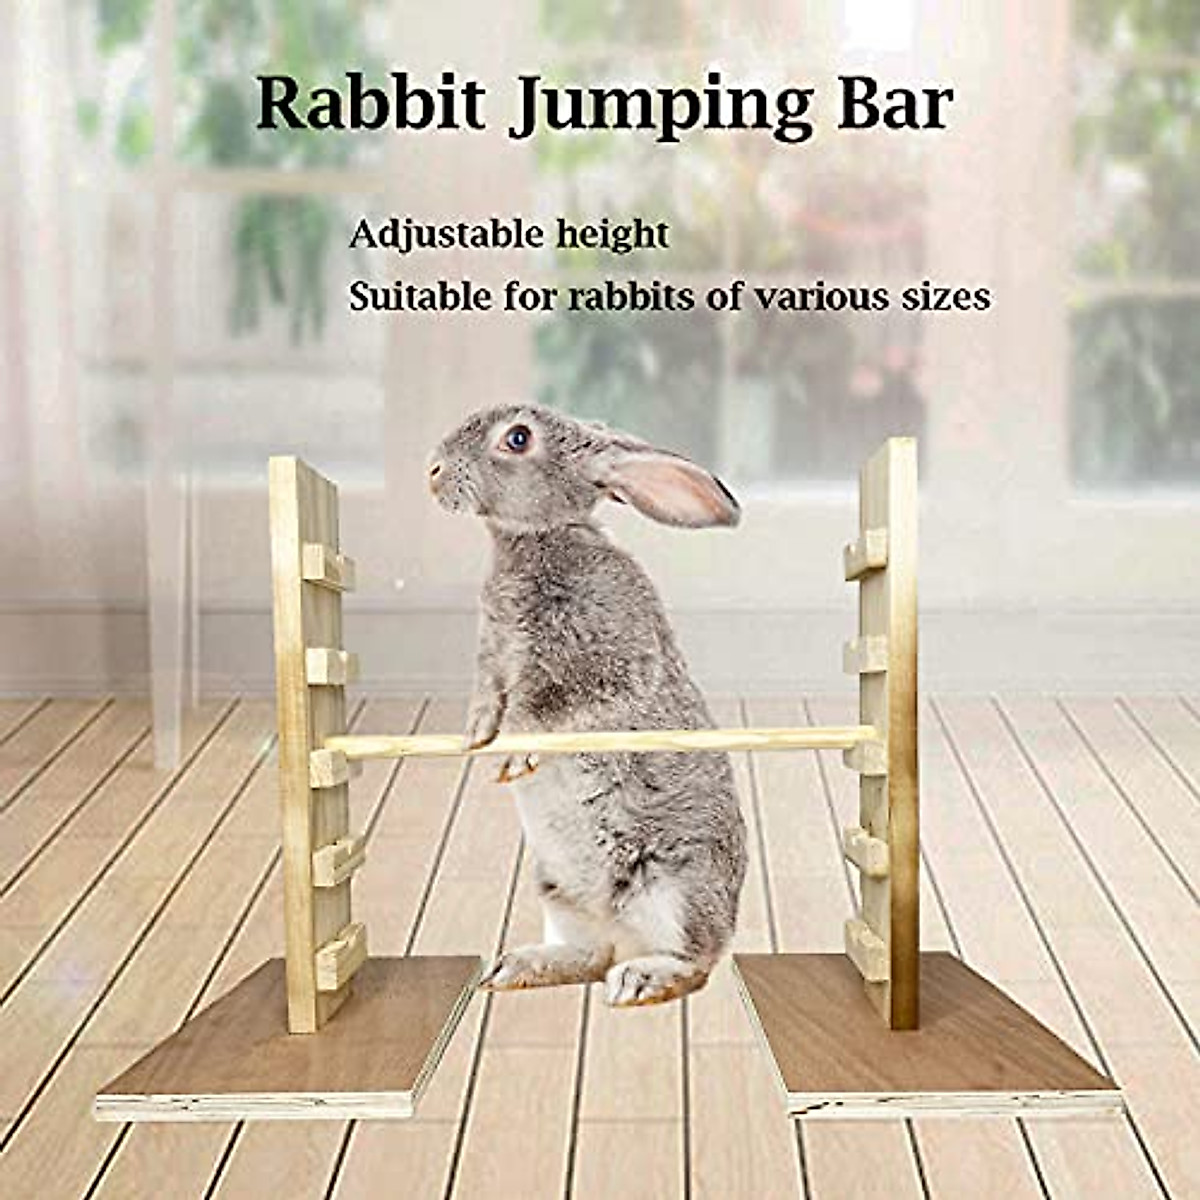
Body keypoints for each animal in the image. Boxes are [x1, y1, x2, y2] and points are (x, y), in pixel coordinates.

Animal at [428, 404, 747, 1007]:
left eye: (518, 438)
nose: (433, 470)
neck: (540, 536)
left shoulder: (592, 660)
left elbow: (543, 705)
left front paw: (512, 752)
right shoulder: (493, 658)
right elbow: (487, 695)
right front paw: (475, 735)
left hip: (675, 885)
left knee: (694, 960)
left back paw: (641, 979)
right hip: (558, 891)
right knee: (589, 953)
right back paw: (520, 966)